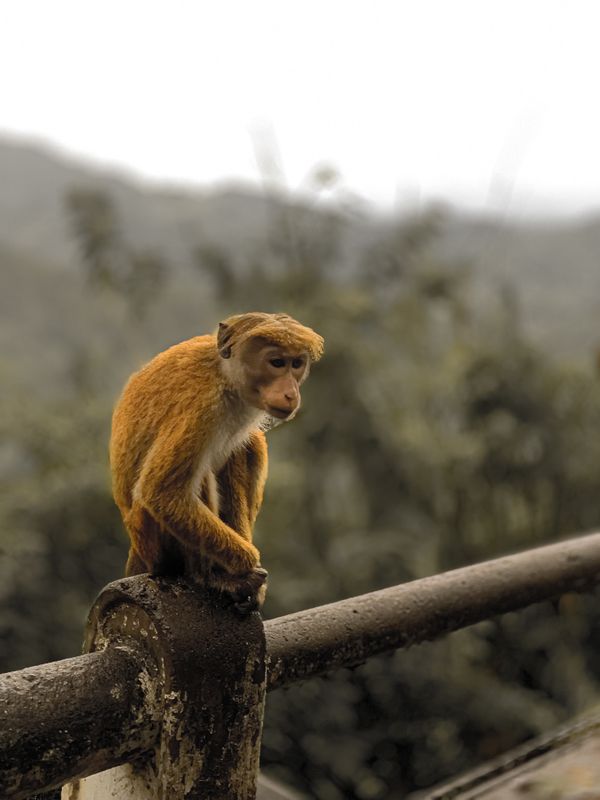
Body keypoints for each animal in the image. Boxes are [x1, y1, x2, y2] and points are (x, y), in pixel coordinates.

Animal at [109, 312, 324, 612]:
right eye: (277, 363)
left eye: (296, 364)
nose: (291, 393)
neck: (224, 375)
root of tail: (137, 550)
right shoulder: (202, 407)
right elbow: (161, 490)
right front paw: (246, 563)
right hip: (153, 541)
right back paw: (208, 576)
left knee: (250, 445)